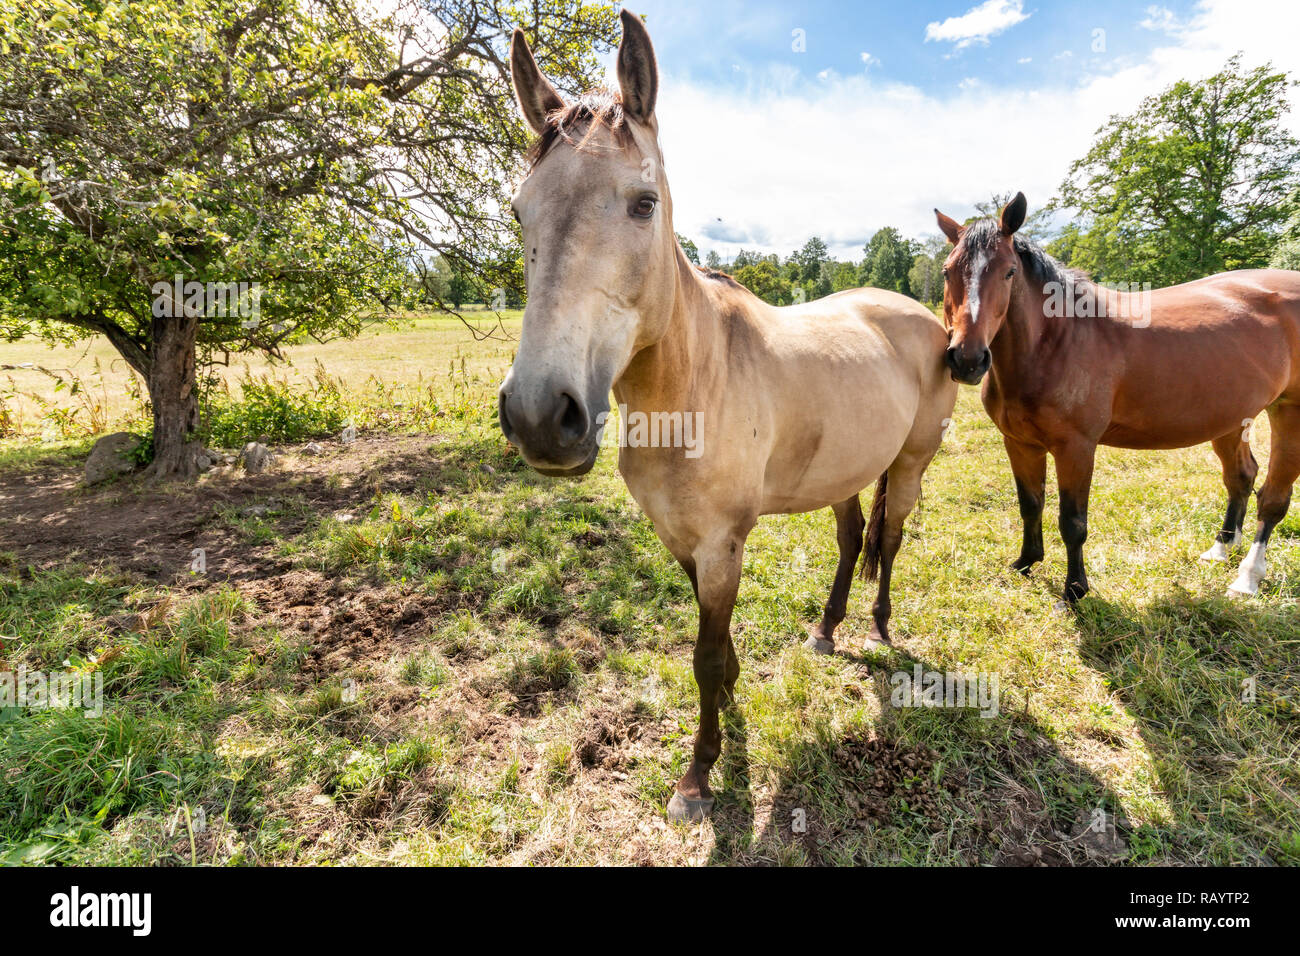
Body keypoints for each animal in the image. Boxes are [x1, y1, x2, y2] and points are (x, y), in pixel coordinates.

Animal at [500, 10, 957, 822]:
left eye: (644, 202)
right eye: (521, 211)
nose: (538, 416)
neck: (693, 383)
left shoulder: (720, 544)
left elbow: (704, 657)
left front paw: (699, 774)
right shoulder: (685, 541)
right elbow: (712, 642)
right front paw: (739, 686)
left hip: (909, 464)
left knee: (891, 538)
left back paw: (878, 628)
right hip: (844, 468)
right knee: (851, 537)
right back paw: (827, 629)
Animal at [935, 192, 1300, 605]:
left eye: (1009, 272)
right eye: (947, 271)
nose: (968, 359)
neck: (1055, 343)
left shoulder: (1076, 448)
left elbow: (1072, 522)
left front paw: (1074, 590)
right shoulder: (1019, 443)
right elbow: (1031, 505)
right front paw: (1026, 563)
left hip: (1288, 412)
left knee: (1273, 498)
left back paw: (1247, 577)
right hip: (1231, 418)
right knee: (1241, 477)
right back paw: (1221, 549)